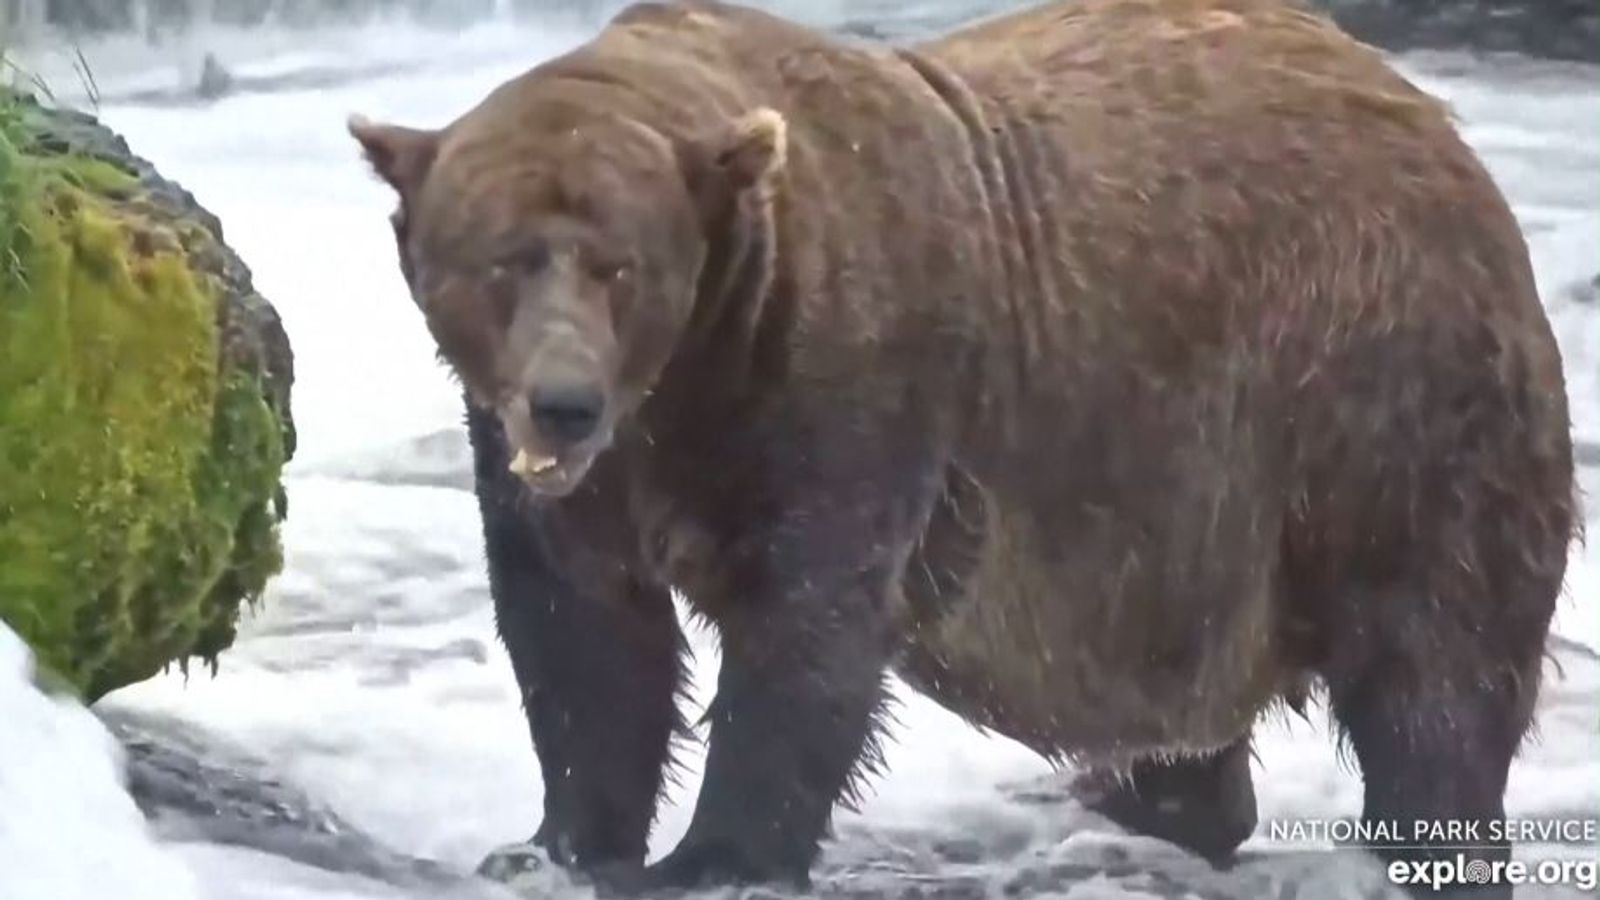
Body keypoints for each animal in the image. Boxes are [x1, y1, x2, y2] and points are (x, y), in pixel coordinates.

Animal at [347, 0, 1578, 895]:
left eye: (620, 266)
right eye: (499, 263)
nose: (562, 403)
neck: (686, 386)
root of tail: (1440, 126)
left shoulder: (840, 389)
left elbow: (806, 632)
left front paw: (711, 858)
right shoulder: (572, 478)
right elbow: (586, 639)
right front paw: (554, 844)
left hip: (1372, 398)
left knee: (1435, 667)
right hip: (1188, 520)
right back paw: (1130, 803)